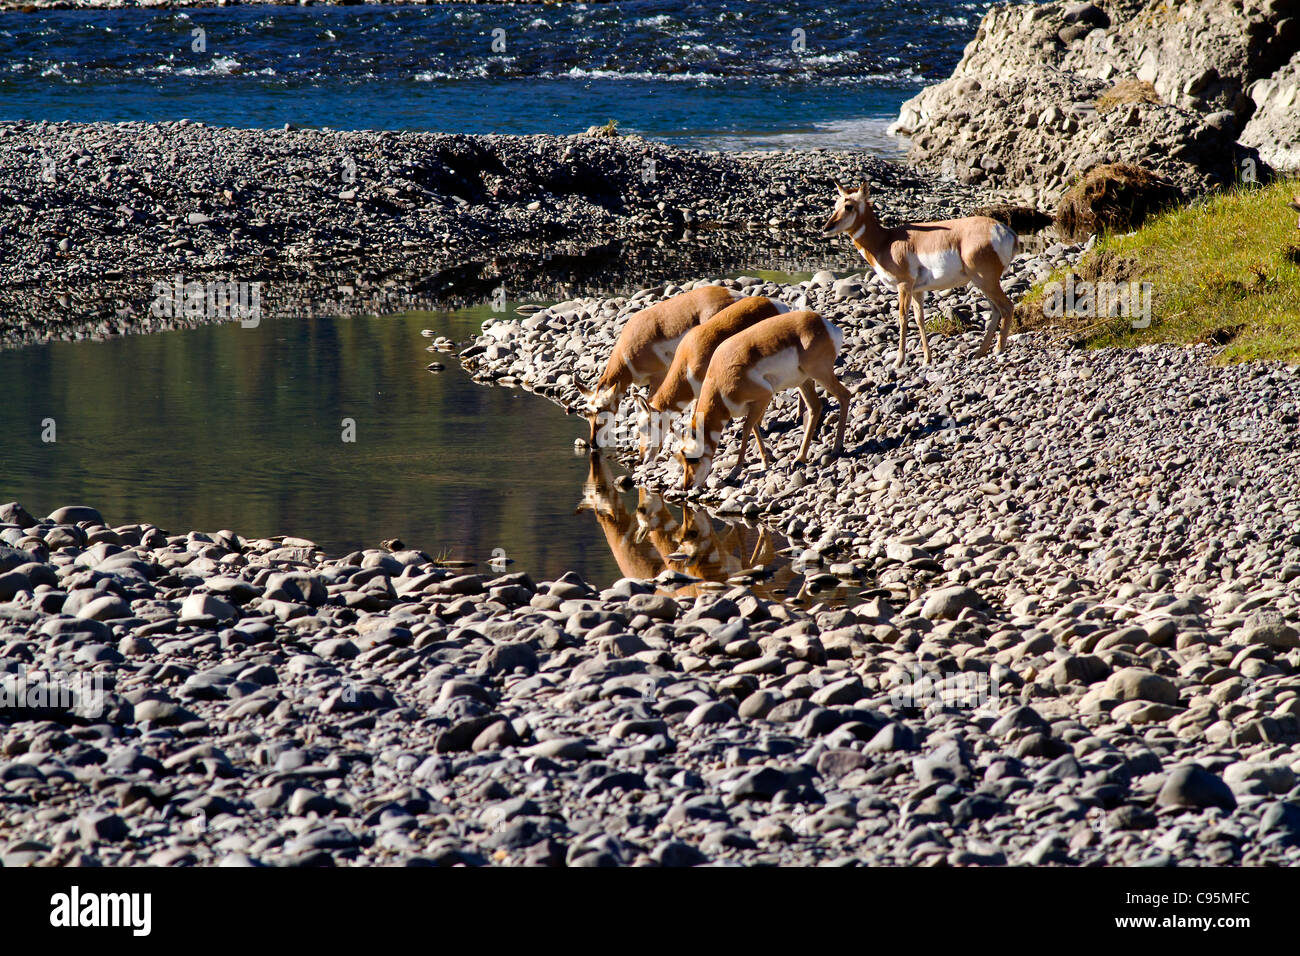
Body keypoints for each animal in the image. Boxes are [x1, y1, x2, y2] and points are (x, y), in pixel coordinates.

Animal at [575, 286, 738, 446]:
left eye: (600, 409)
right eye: (586, 412)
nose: (592, 443)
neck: (626, 352)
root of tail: (732, 294)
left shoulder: (658, 377)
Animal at [677, 310, 851, 491]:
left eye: (692, 458)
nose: (686, 486)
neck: (718, 377)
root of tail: (825, 324)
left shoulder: (764, 396)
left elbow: (746, 429)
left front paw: (734, 472)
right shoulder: (754, 406)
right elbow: (754, 428)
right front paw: (764, 463)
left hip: (819, 373)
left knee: (844, 395)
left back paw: (836, 448)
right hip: (803, 381)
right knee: (815, 407)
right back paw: (800, 458)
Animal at [822, 180, 1019, 366]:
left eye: (849, 206)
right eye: (836, 204)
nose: (826, 229)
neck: (885, 241)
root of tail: (1007, 231)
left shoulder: (904, 286)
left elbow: (902, 318)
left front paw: (898, 361)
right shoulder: (918, 290)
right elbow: (919, 319)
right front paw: (926, 359)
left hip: (986, 280)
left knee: (1007, 307)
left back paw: (998, 349)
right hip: (982, 283)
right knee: (996, 310)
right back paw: (979, 353)